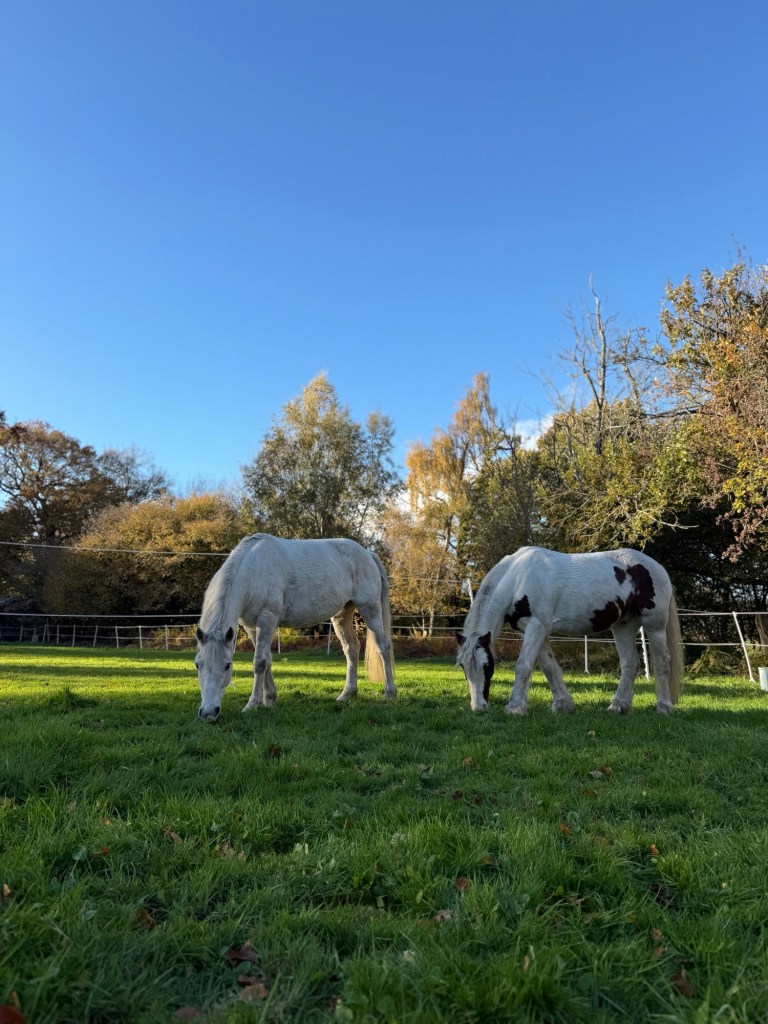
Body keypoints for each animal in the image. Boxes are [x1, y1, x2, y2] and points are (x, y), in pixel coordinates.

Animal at [195, 534, 396, 722]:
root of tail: (367, 553)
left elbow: (259, 662)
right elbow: (267, 660)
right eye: (197, 664)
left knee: (383, 647)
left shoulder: (267, 619)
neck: (254, 571)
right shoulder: (252, 627)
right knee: (352, 649)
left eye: (227, 665)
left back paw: (390, 693)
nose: (208, 713)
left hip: (370, 608)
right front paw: (269, 699)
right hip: (342, 614)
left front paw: (253, 704)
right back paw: (347, 694)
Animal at [456, 546, 683, 717]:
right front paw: (562, 704)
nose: (478, 707)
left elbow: (523, 666)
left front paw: (514, 708)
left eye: (487, 666)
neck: (519, 577)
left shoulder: (536, 626)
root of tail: (657, 567)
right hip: (624, 626)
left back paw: (663, 707)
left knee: (662, 663)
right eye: (463, 668)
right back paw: (618, 706)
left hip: (655, 626)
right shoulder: (533, 630)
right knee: (630, 664)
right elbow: (549, 667)